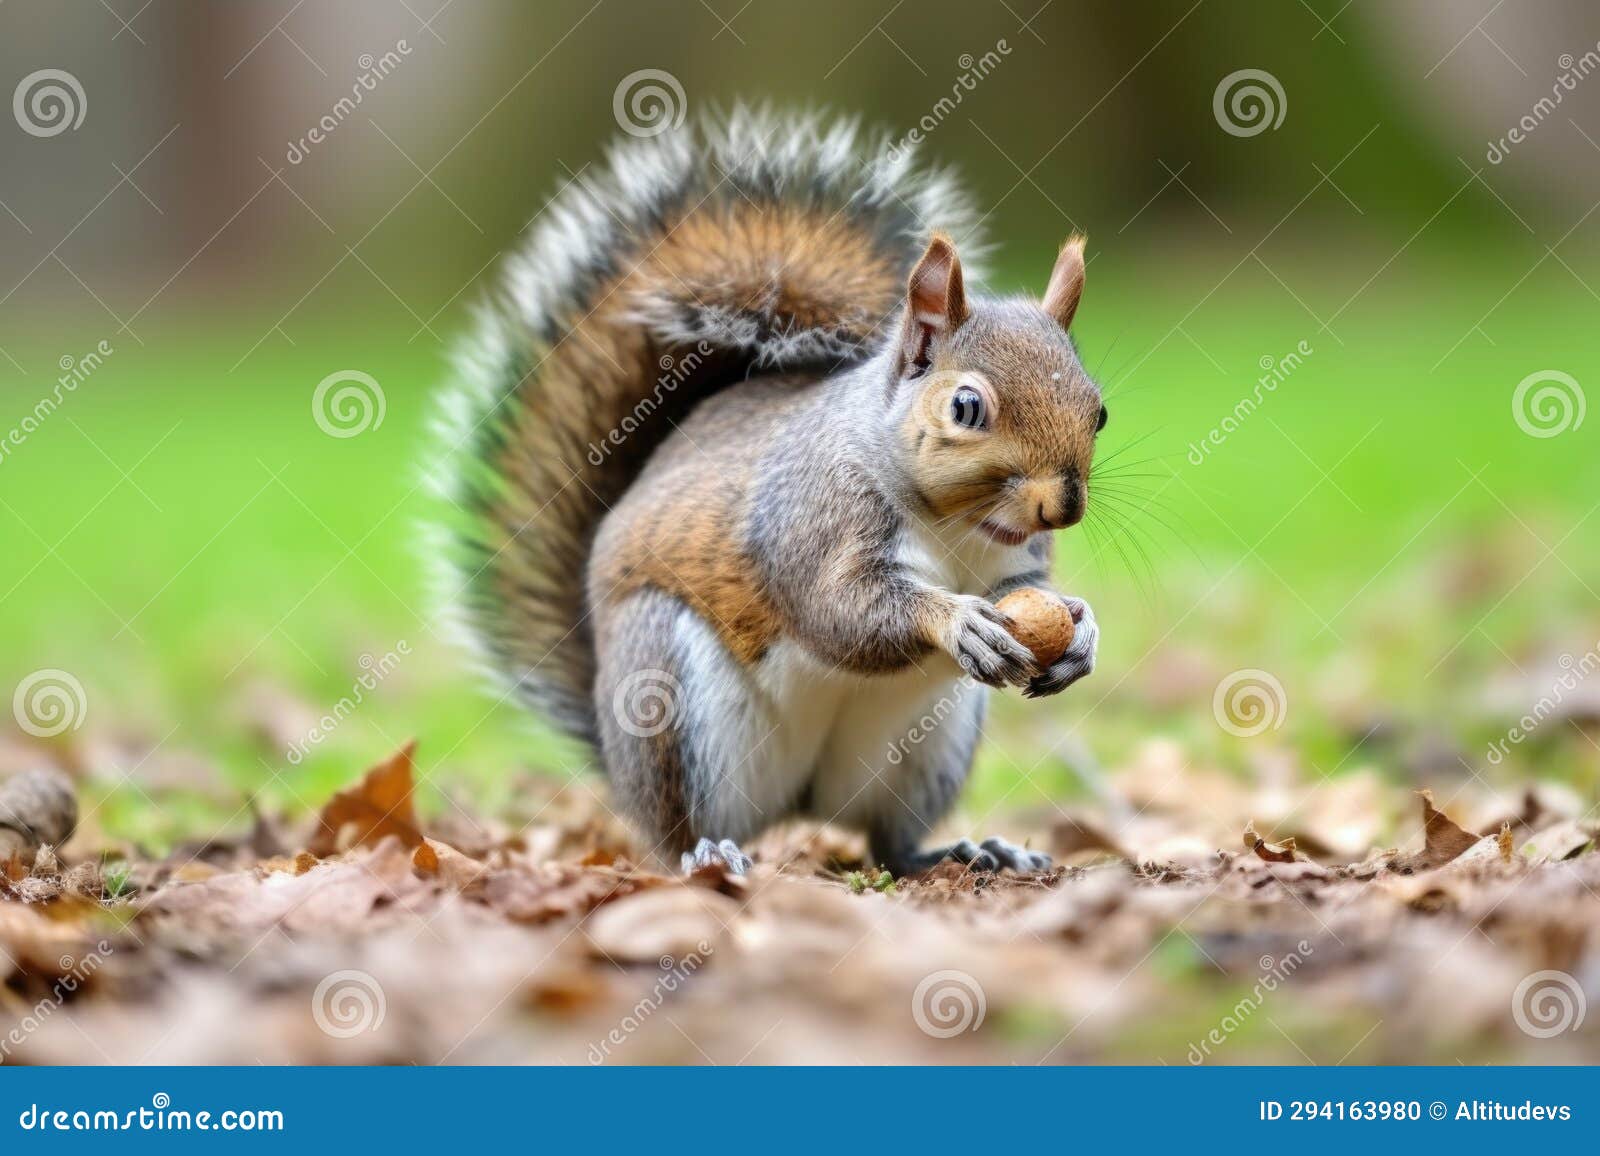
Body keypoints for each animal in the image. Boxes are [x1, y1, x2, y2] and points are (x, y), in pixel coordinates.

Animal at [431, 109, 1104, 877]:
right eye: (966, 408)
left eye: (1100, 410)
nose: (1062, 506)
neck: (955, 527)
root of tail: (798, 803)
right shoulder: (812, 518)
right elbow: (842, 610)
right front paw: (954, 619)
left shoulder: (1017, 568)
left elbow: (1028, 596)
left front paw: (1081, 630)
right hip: (663, 691)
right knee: (680, 828)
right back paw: (707, 853)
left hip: (926, 746)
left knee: (888, 839)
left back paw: (963, 850)